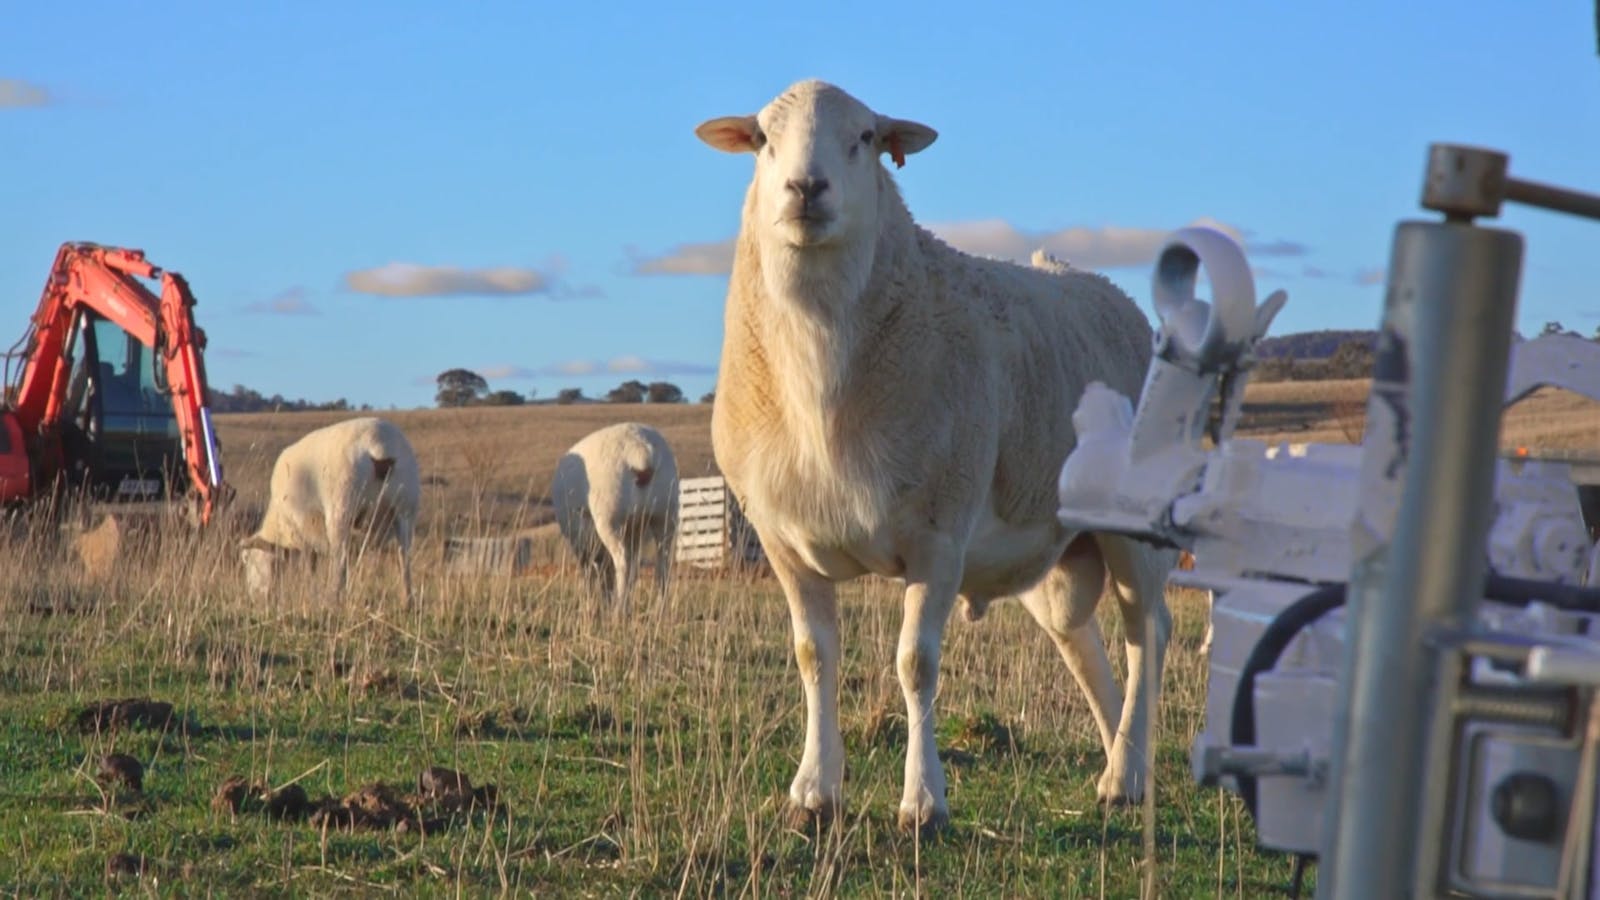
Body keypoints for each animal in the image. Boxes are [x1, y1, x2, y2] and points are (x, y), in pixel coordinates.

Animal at [239, 417, 420, 604]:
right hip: (405, 510)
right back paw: (407, 600)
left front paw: (310, 594)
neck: (279, 524)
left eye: (248, 560)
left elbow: (309, 568)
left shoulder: (303, 532)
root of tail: (378, 444)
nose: (254, 599)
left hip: (341, 508)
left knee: (339, 560)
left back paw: (333, 598)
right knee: (404, 558)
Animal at [551, 422, 679, 612]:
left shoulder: (579, 540)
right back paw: (659, 610)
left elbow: (589, 573)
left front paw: (591, 605)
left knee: (622, 562)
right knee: (662, 565)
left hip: (610, 519)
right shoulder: (634, 533)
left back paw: (619, 610)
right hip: (665, 516)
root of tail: (640, 450)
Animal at [696, 79, 1177, 831]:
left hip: (1132, 526)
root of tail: (1099, 287)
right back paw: (1118, 769)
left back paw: (1127, 769)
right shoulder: (783, 543)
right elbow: (812, 657)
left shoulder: (939, 535)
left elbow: (915, 665)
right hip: (1053, 550)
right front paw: (814, 792)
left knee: (1146, 634)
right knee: (1081, 642)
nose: (806, 188)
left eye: (866, 137)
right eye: (763, 139)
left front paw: (923, 802)